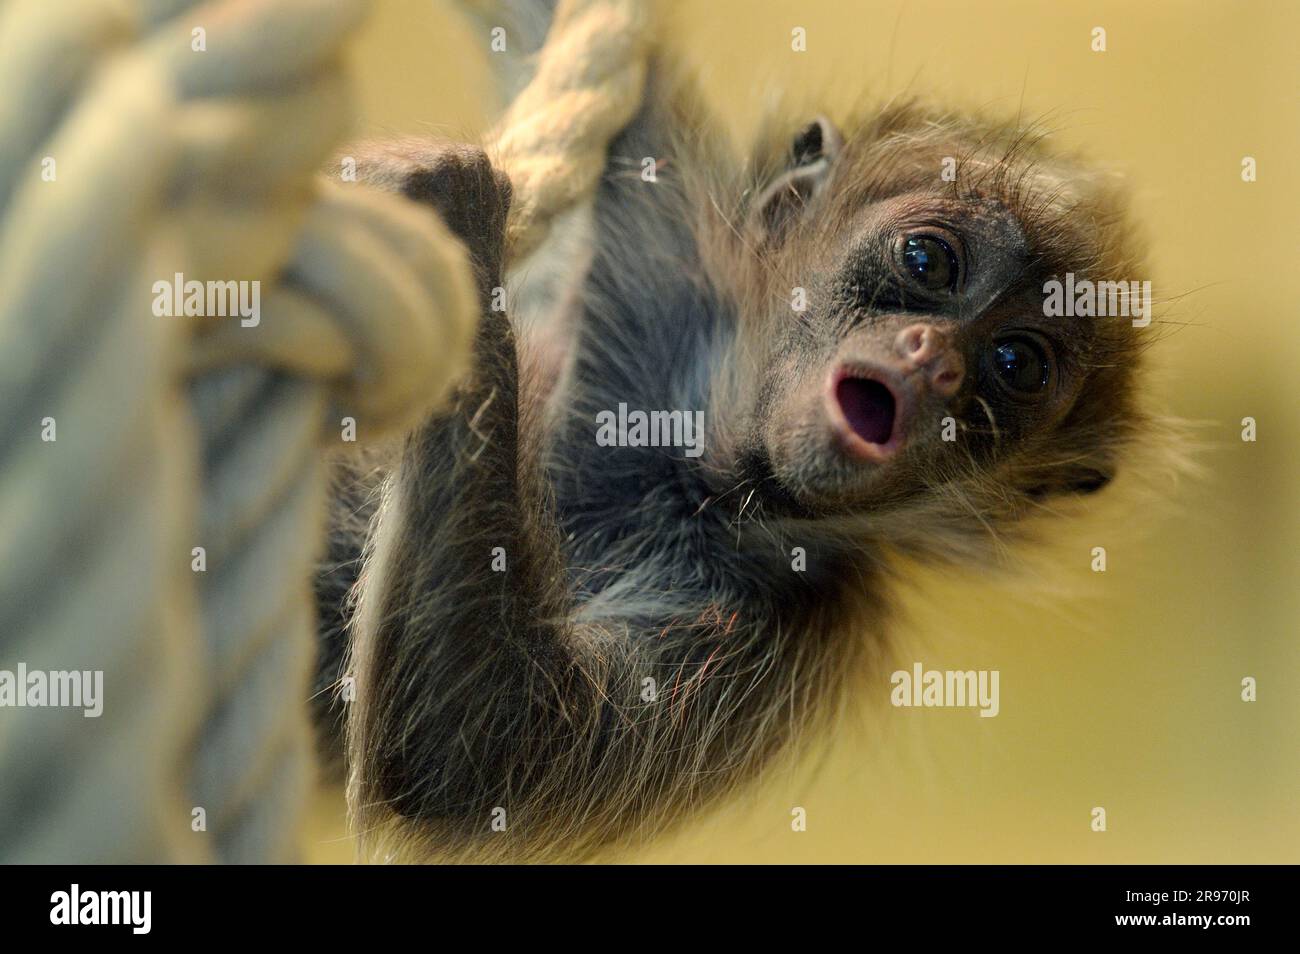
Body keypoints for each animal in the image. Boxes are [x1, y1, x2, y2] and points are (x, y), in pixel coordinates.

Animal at [314, 64, 1163, 863]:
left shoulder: (785, 624)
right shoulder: (656, 252)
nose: (936, 363)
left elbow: (471, 751)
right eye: (927, 259)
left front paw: (458, 224)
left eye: (1017, 364)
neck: (685, 469)